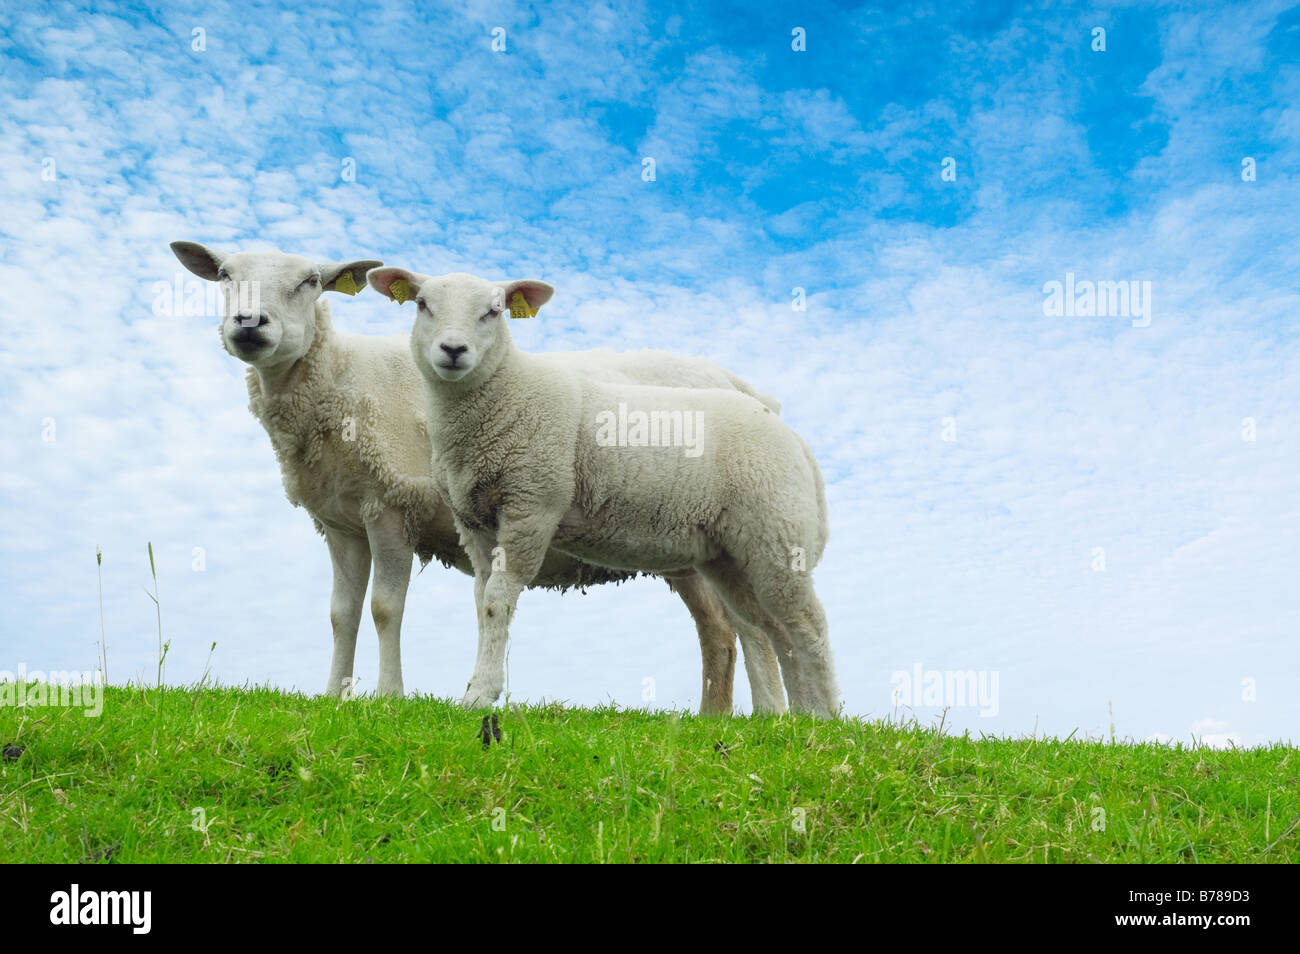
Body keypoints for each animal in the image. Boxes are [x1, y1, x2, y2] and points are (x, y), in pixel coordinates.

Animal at [168, 242, 786, 713]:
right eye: (225, 276)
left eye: (310, 282)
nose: (249, 324)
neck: (341, 379)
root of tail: (746, 388)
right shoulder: (340, 523)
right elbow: (341, 614)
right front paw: (333, 698)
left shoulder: (392, 504)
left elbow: (385, 608)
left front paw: (389, 696)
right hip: (688, 548)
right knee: (720, 631)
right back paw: (712, 718)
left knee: (744, 628)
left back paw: (758, 717)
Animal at [368, 267, 839, 717]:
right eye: (422, 305)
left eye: (494, 311)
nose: (453, 350)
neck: (502, 394)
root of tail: (791, 434)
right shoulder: (476, 522)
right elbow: (483, 605)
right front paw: (478, 686)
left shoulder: (531, 506)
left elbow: (498, 601)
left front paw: (480, 695)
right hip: (731, 555)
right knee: (776, 628)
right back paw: (796, 720)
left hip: (776, 536)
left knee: (808, 625)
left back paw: (828, 716)